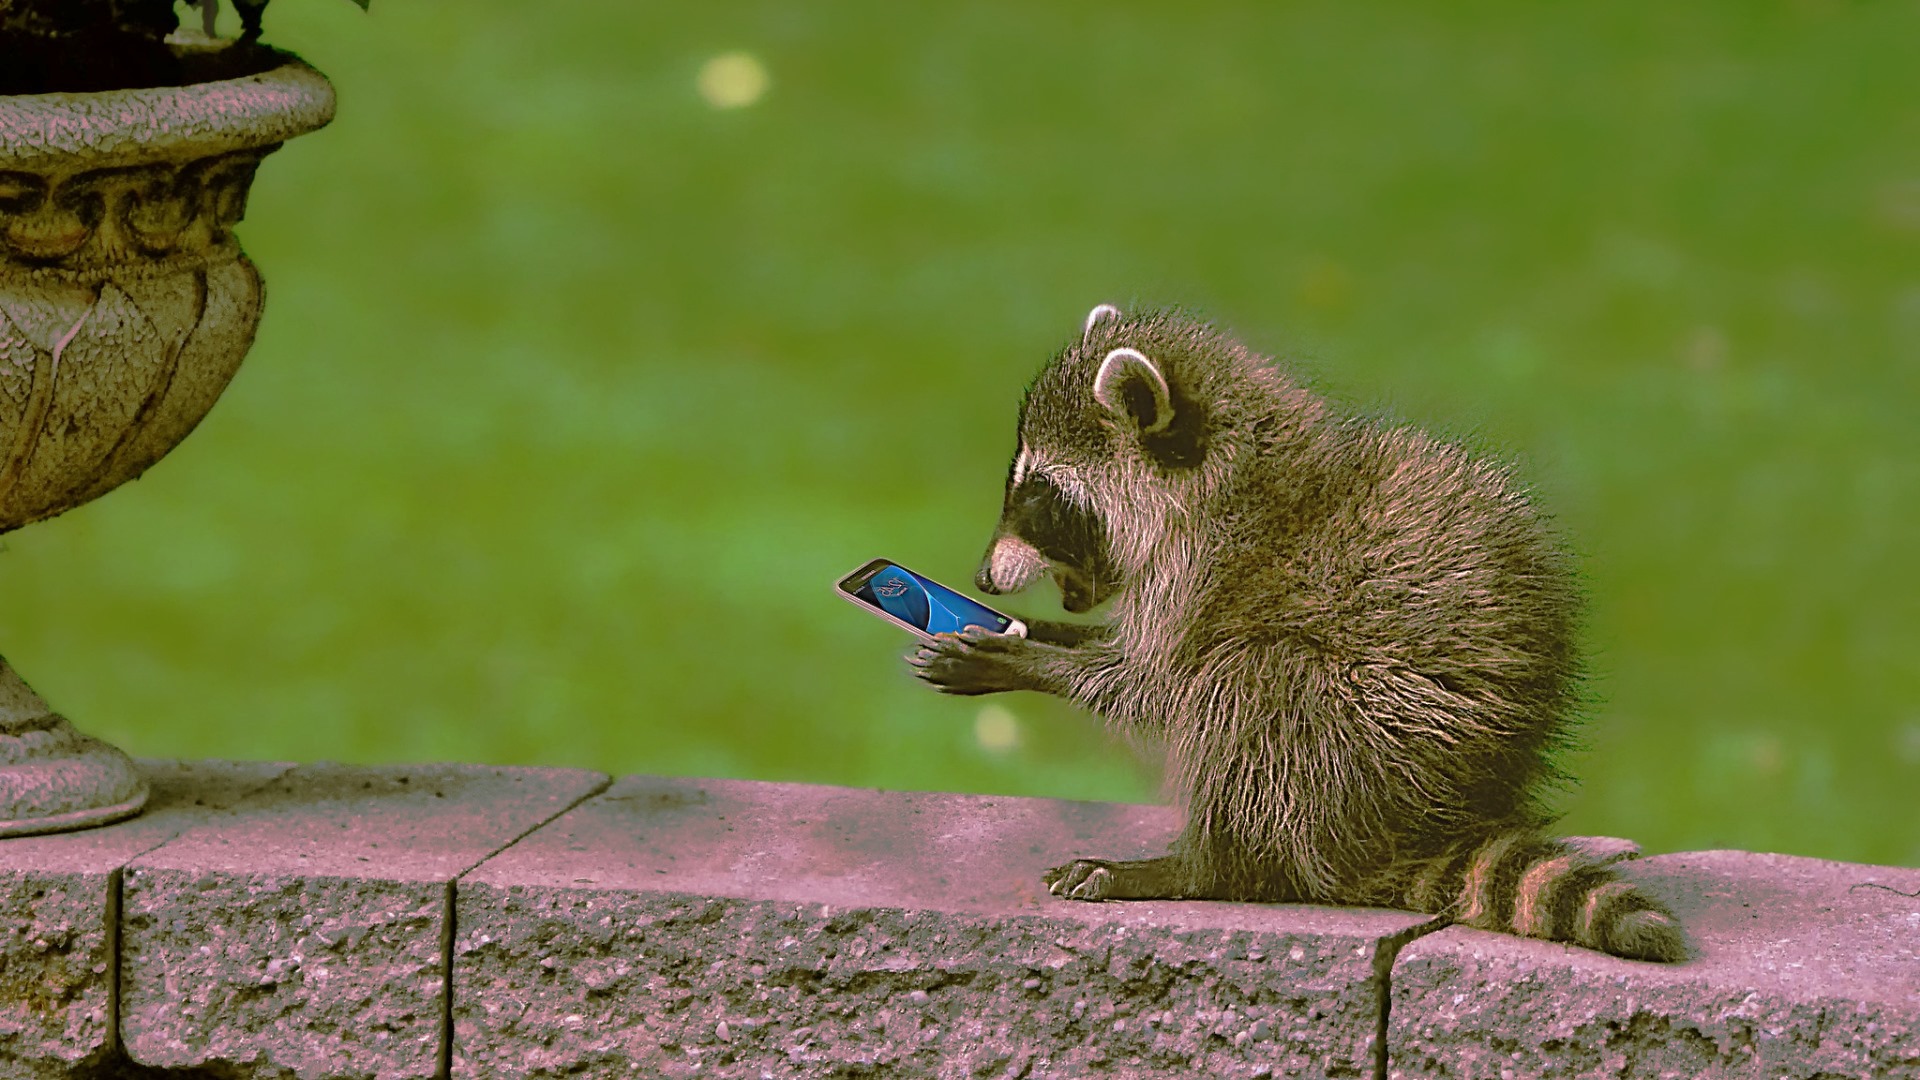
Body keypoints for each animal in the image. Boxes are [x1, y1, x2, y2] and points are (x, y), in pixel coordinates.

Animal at [909, 303, 1686, 963]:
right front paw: (1038, 632)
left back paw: (1205, 867)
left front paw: (1025, 659)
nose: (982, 579)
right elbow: (1128, 657)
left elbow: (1156, 685)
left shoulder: (1208, 575)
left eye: (1039, 497)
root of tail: (1421, 827)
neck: (1224, 477)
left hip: (1372, 729)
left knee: (1251, 687)